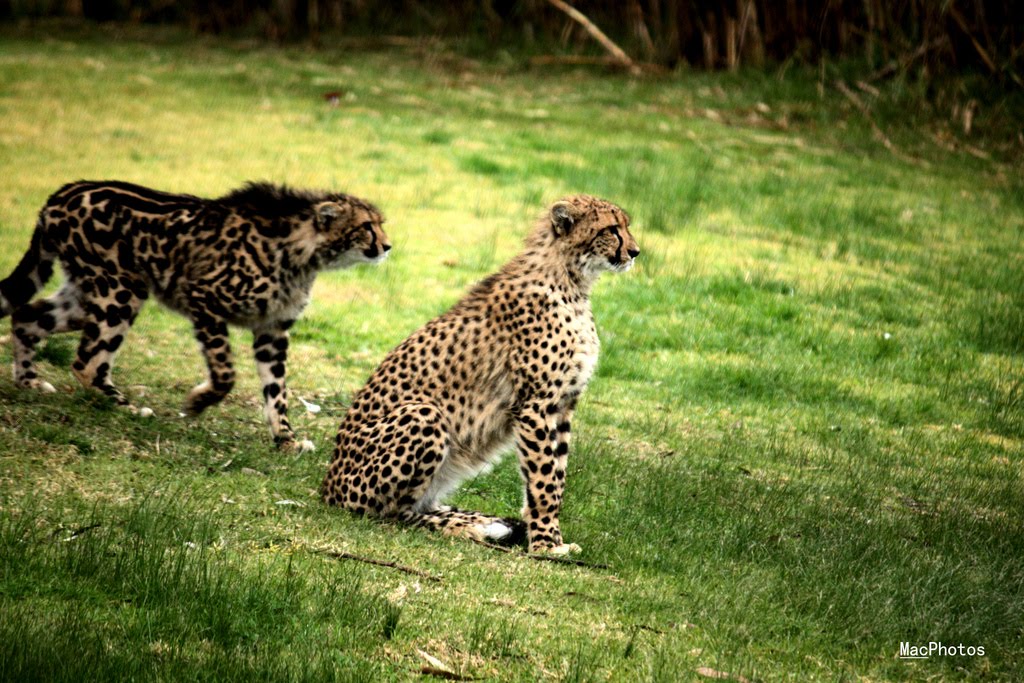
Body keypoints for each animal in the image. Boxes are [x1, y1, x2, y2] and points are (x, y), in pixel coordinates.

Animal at [0, 180, 390, 451]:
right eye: (367, 226)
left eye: (380, 224)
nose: (387, 246)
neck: (302, 249)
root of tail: (64, 192)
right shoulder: (202, 298)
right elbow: (225, 373)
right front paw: (197, 402)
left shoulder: (272, 330)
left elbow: (277, 391)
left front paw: (286, 440)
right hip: (121, 291)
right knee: (87, 361)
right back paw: (122, 406)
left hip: (88, 294)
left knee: (27, 315)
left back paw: (29, 382)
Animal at [321, 194, 639, 554]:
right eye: (612, 229)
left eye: (625, 227)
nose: (635, 251)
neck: (571, 279)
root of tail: (327, 487)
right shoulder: (537, 405)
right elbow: (544, 480)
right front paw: (545, 544)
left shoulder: (563, 404)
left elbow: (557, 476)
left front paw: (551, 538)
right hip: (423, 415)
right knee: (393, 512)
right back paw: (467, 527)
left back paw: (477, 522)